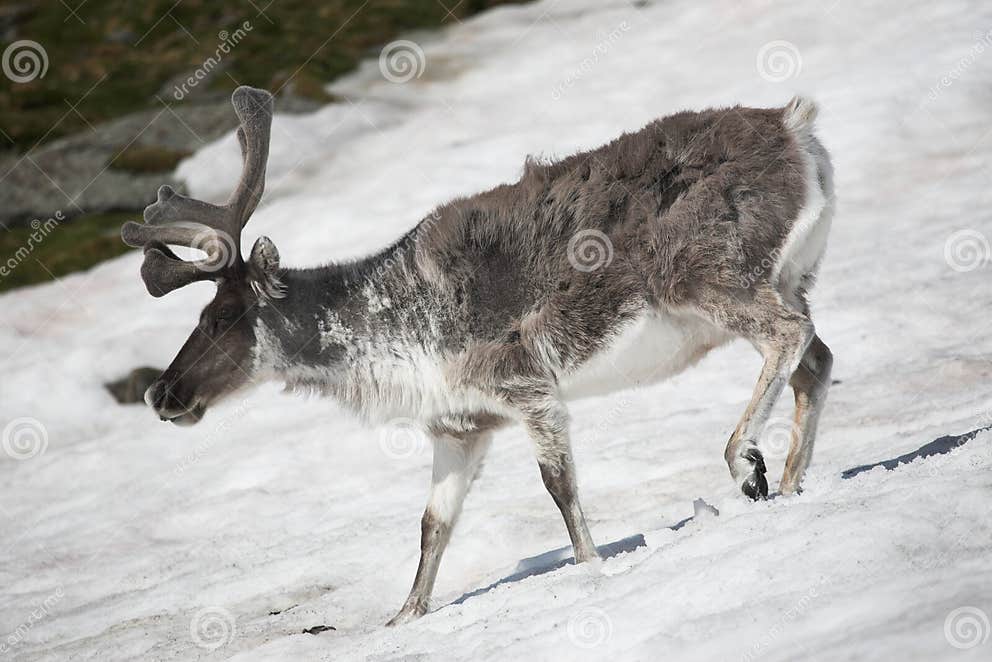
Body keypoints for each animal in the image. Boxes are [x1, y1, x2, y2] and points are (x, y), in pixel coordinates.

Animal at [123, 86, 834, 625]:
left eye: (219, 316)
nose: (162, 394)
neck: (396, 338)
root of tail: (798, 129)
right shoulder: (458, 425)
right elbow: (432, 523)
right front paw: (403, 617)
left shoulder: (529, 389)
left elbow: (558, 486)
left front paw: (590, 567)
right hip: (791, 277)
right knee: (816, 358)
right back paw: (790, 483)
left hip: (708, 278)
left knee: (785, 334)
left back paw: (746, 464)